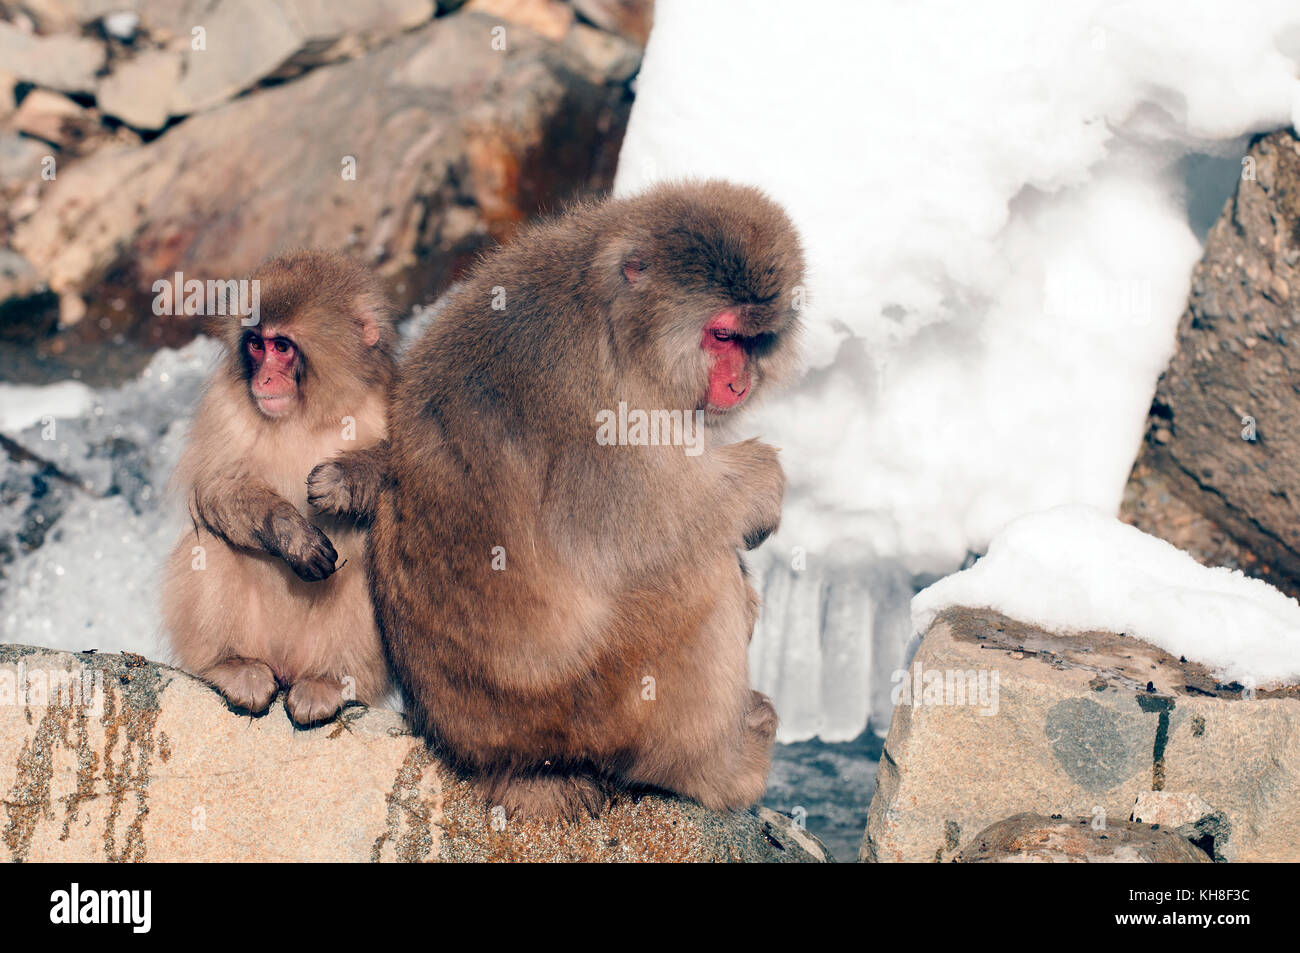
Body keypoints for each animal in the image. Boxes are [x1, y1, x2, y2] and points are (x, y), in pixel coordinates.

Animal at [161, 250, 396, 728]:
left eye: (282, 347)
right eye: (256, 344)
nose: (264, 380)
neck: (310, 413)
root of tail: (286, 667)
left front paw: (345, 480)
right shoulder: (226, 403)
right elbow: (216, 488)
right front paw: (292, 534)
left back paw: (329, 682)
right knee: (213, 541)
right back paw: (231, 666)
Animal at [311, 181, 805, 819]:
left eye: (756, 340)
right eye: (723, 336)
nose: (739, 383)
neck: (613, 321)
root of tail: (497, 761)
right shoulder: (588, 400)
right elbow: (636, 530)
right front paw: (763, 483)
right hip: (595, 702)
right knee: (696, 571)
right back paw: (717, 771)